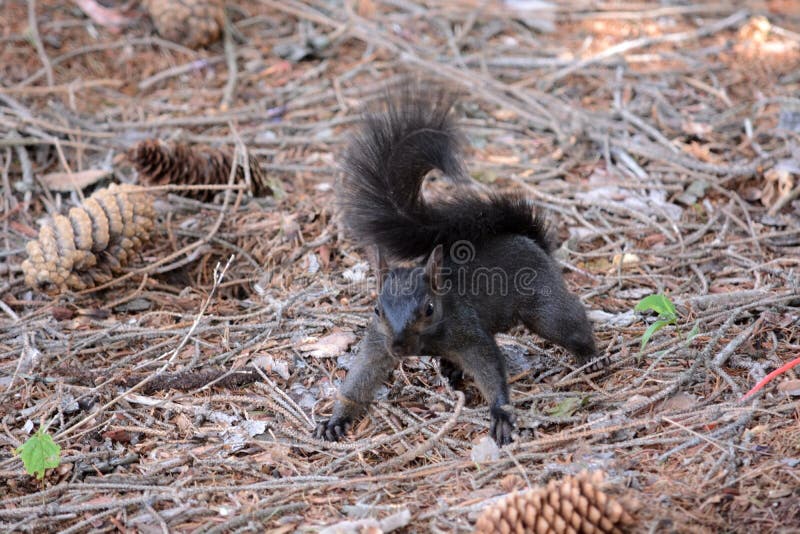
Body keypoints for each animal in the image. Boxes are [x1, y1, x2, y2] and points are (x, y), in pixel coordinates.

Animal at [315, 86, 602, 446]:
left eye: (428, 309)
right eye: (377, 310)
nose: (399, 347)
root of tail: (528, 239)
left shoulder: (467, 331)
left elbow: (488, 366)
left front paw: (500, 412)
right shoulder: (378, 341)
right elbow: (361, 377)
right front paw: (337, 419)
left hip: (542, 304)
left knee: (566, 321)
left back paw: (590, 356)